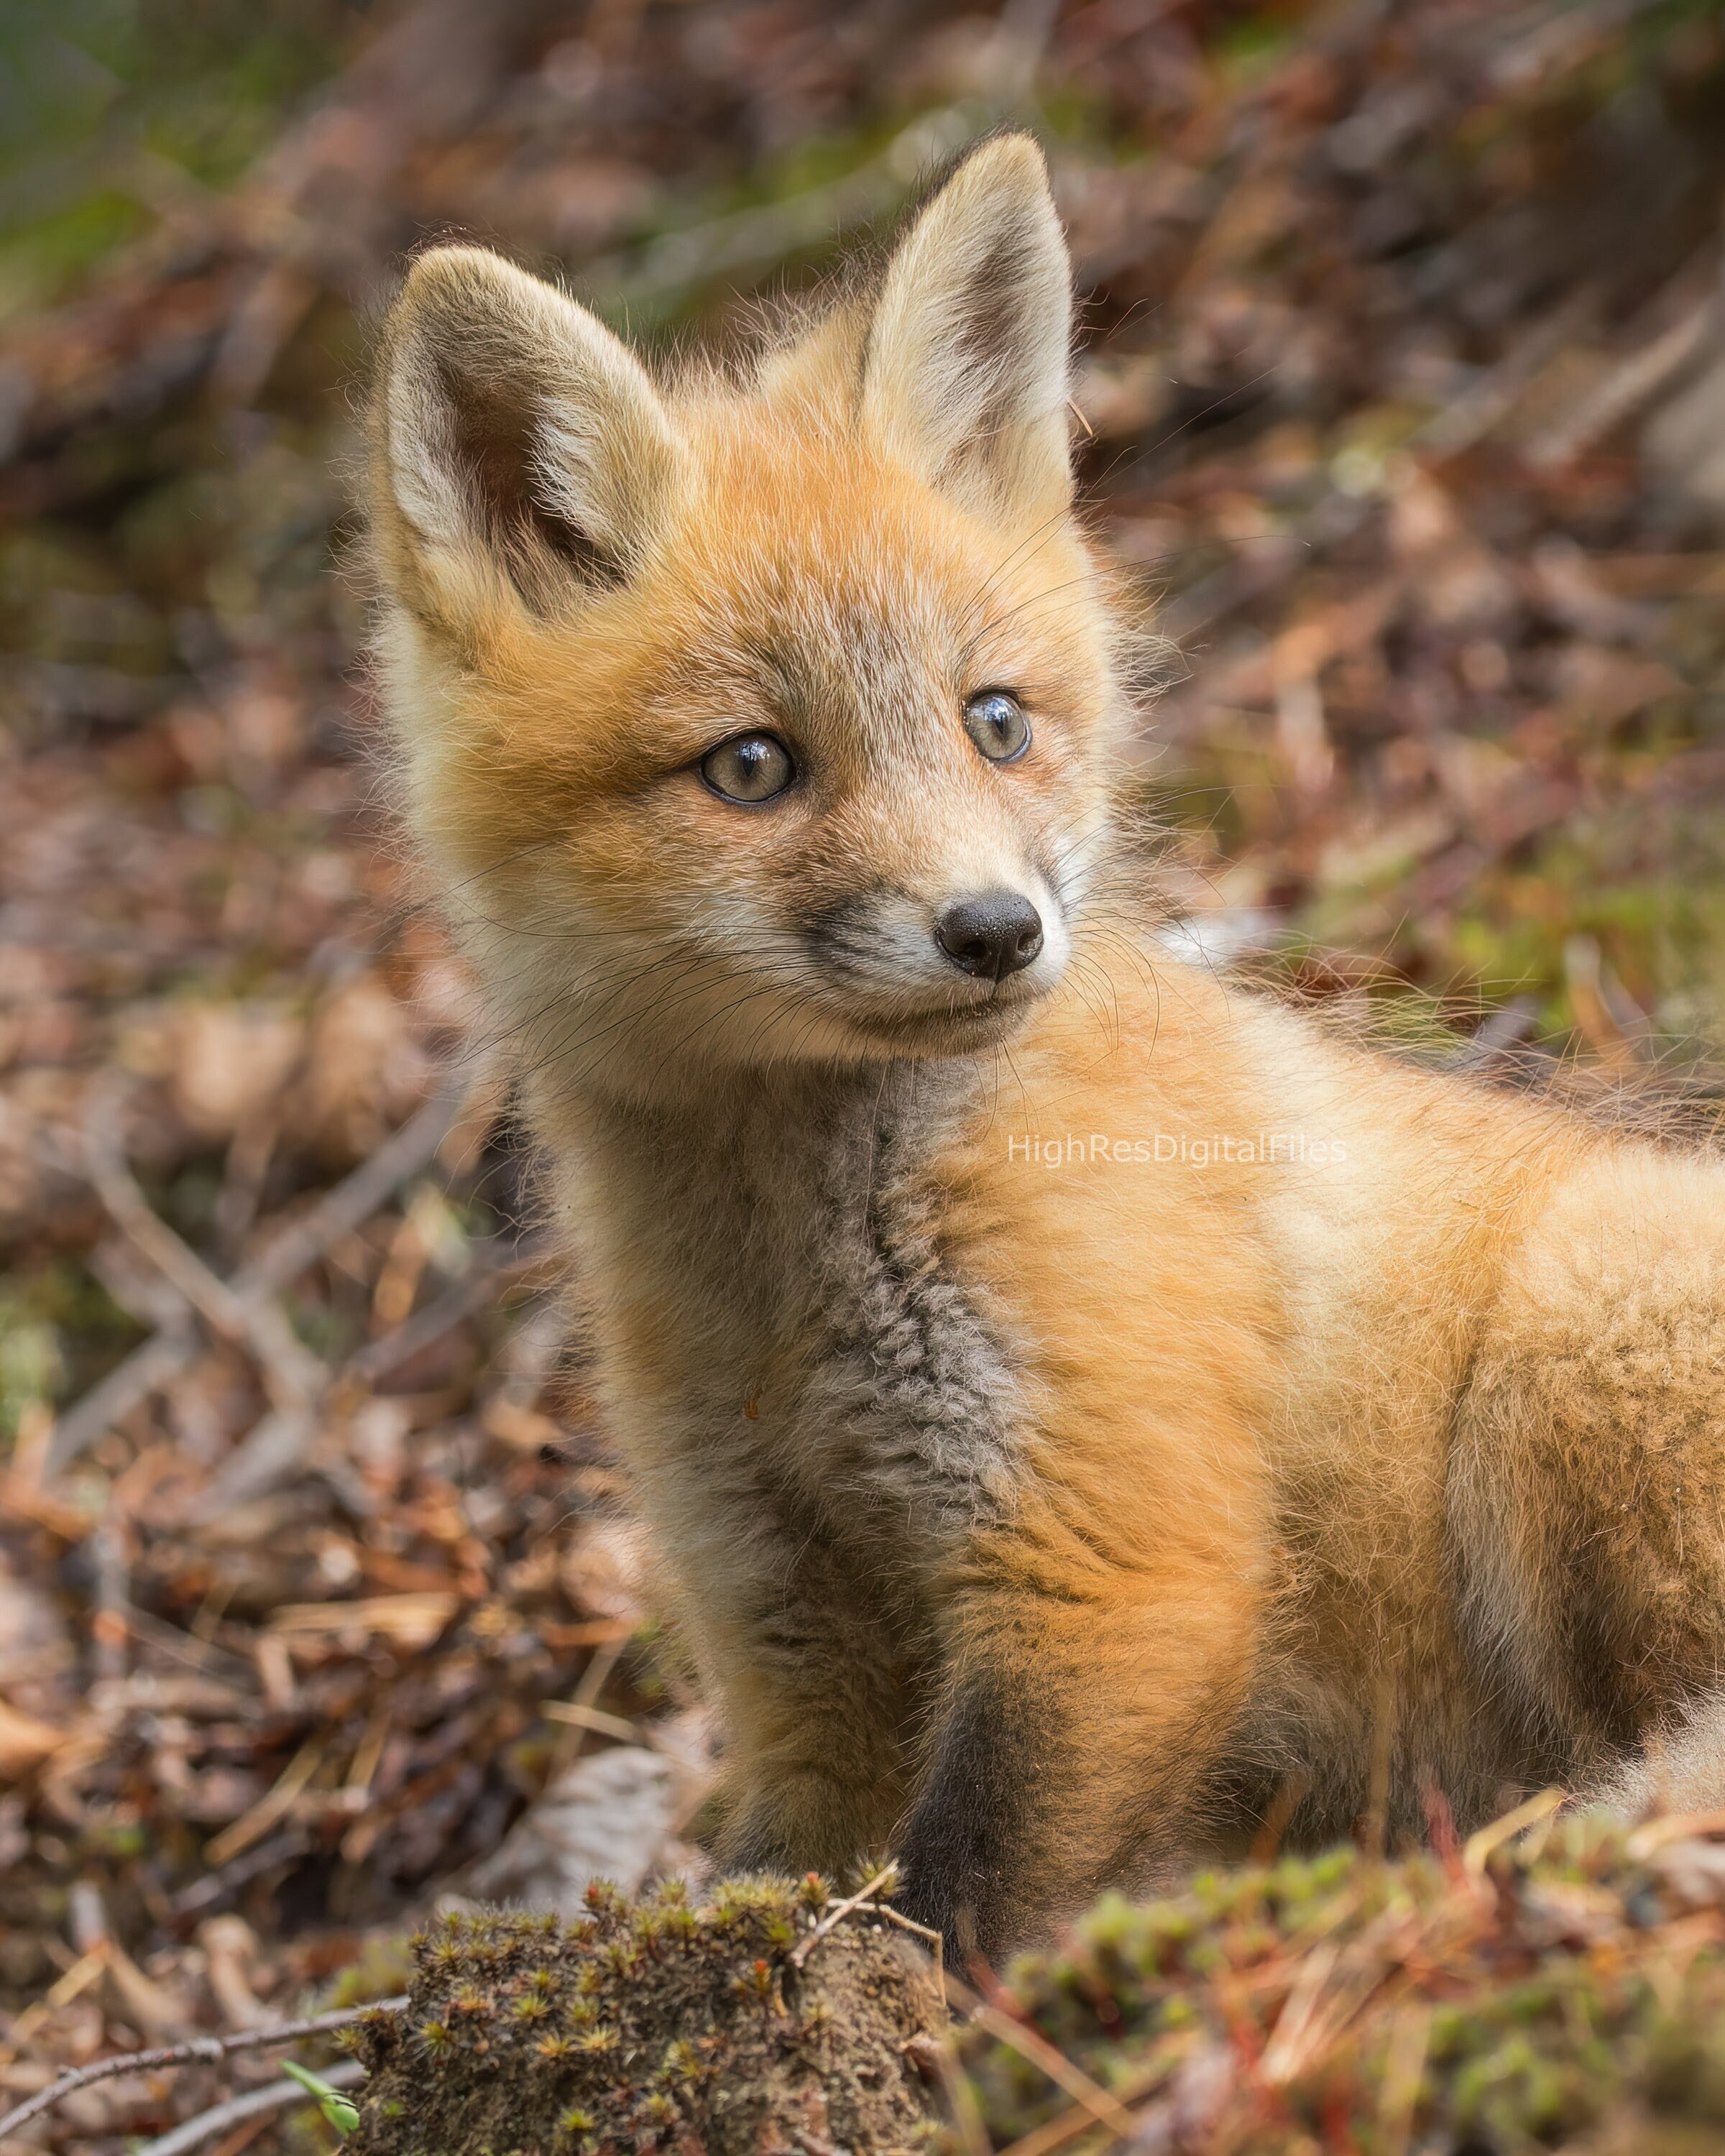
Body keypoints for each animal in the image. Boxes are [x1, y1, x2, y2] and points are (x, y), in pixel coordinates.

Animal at [365, 133, 1725, 1958]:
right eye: (750, 767)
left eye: (992, 721)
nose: (997, 932)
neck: (796, 1294)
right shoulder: (786, 1619)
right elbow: (782, 1885)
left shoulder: (1115, 1571)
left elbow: (961, 1912)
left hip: (1562, 1348)